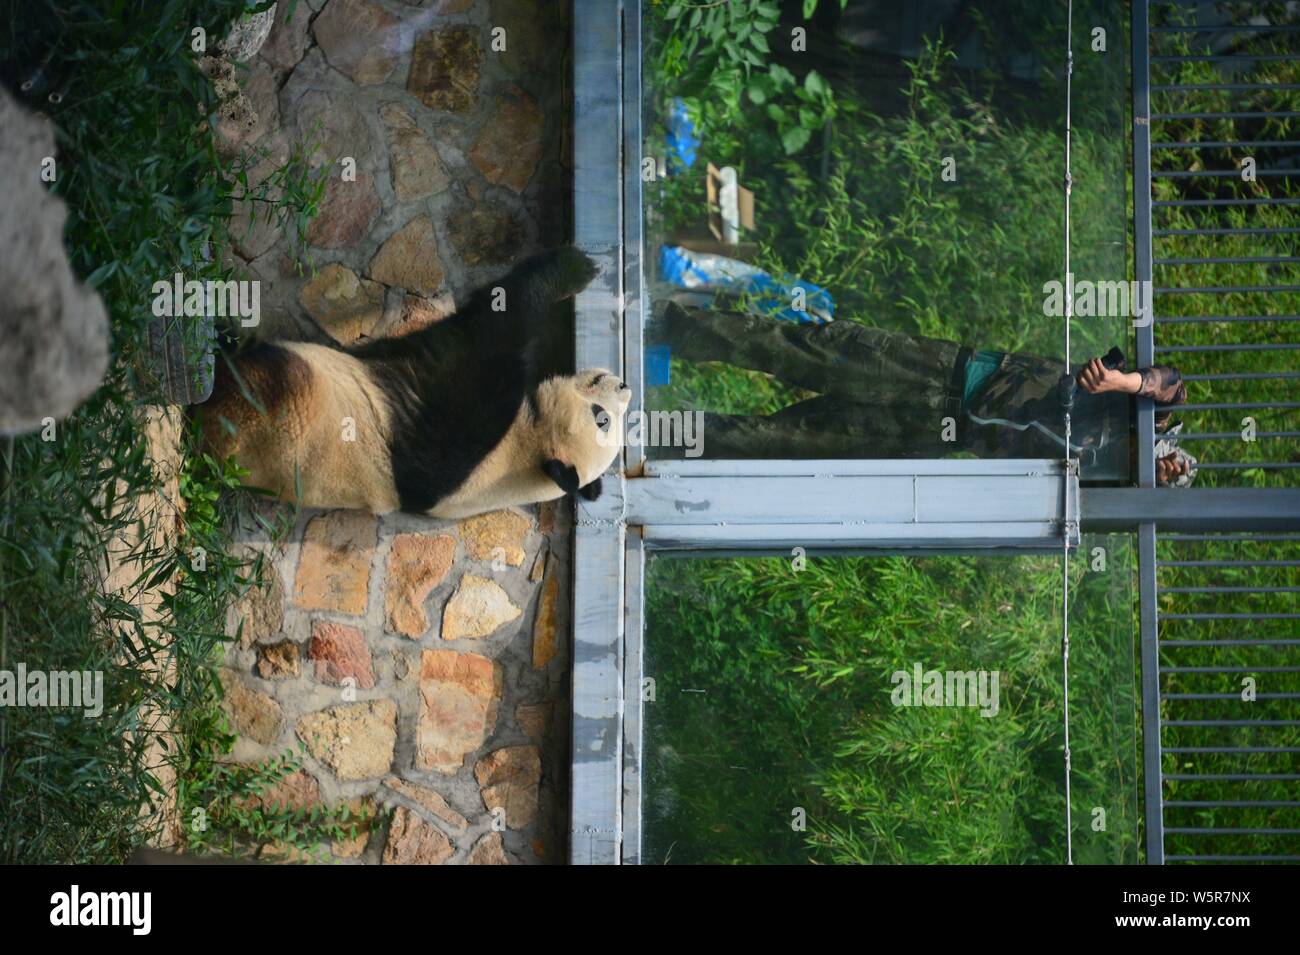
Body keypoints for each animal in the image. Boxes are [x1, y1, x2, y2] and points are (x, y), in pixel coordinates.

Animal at [200, 247, 630, 519]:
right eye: (604, 418)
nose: (624, 388)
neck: (527, 461)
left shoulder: (468, 434)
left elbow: (485, 331)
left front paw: (568, 268)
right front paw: (580, 270)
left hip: (277, 409)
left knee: (260, 371)